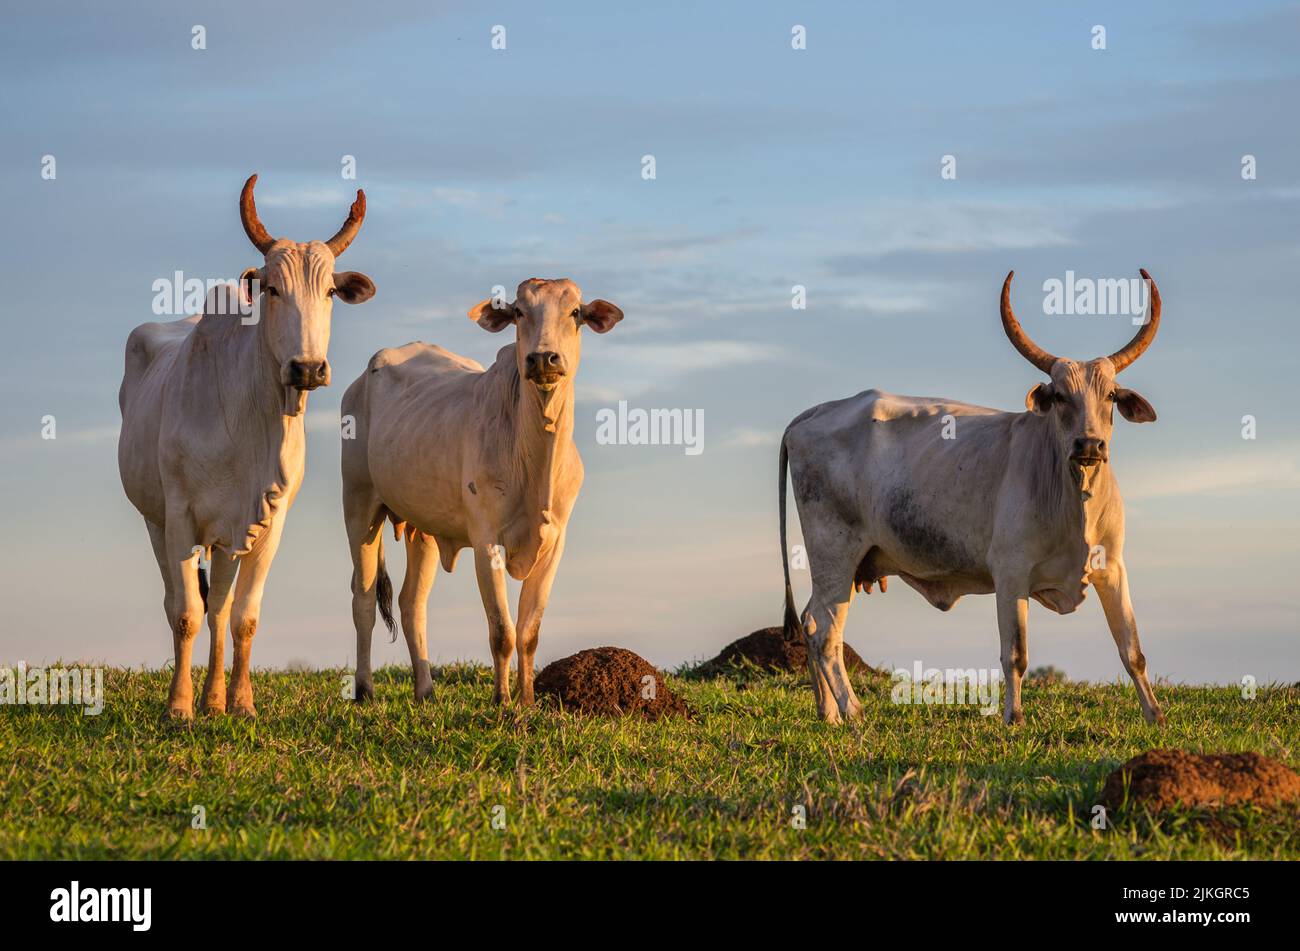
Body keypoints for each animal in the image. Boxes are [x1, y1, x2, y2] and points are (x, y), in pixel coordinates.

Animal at [118, 175, 376, 719]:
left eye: (329, 291)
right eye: (272, 288)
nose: (307, 368)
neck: (249, 424)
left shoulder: (267, 520)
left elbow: (243, 616)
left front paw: (239, 702)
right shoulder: (179, 519)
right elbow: (186, 614)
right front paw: (179, 708)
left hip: (225, 538)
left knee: (219, 607)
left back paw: (215, 698)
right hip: (155, 520)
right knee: (180, 604)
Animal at [341, 278, 624, 705]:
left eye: (575, 312)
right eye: (519, 312)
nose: (543, 359)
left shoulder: (555, 542)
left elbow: (528, 632)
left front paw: (527, 701)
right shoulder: (486, 539)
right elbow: (502, 632)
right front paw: (502, 701)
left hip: (423, 527)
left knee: (411, 603)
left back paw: (426, 690)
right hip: (360, 503)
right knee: (364, 599)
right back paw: (365, 690)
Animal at [779, 269, 1165, 726]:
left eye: (1109, 396)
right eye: (1060, 396)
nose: (1089, 445)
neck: (1073, 499)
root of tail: (813, 413)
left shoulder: (1113, 569)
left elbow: (1132, 650)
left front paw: (1155, 715)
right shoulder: (1011, 574)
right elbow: (1015, 654)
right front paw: (1014, 718)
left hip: (844, 564)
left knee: (814, 624)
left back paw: (829, 713)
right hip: (834, 552)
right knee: (822, 629)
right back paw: (852, 710)